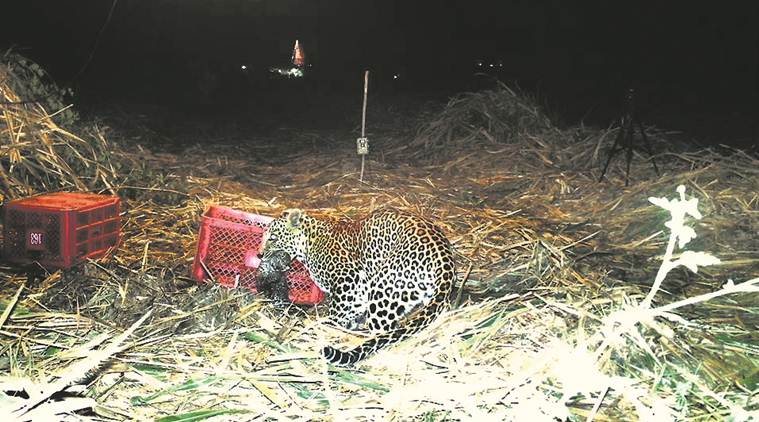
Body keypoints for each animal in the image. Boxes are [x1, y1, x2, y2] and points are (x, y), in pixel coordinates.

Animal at [258, 208, 456, 366]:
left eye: (273, 238)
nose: (259, 254)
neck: (309, 242)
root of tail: (444, 258)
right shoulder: (359, 292)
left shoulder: (349, 279)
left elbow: (337, 311)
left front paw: (328, 326)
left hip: (382, 291)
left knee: (382, 330)